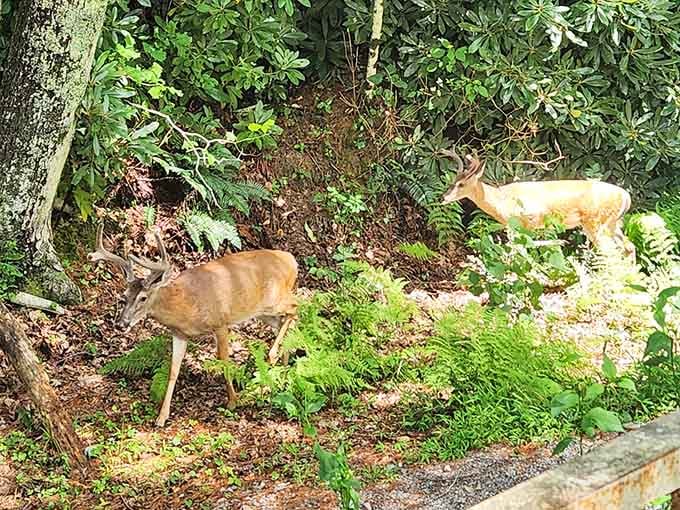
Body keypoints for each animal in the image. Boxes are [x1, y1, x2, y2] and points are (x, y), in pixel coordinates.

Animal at [88, 224, 298, 427]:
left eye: (143, 297)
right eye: (124, 297)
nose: (121, 324)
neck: (184, 305)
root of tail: (291, 260)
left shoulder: (220, 323)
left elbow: (223, 360)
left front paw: (232, 401)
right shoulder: (179, 334)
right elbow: (173, 371)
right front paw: (161, 417)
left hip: (275, 299)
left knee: (296, 308)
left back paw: (272, 359)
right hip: (263, 312)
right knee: (283, 321)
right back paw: (281, 370)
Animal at [440, 148, 636, 259]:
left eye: (461, 184)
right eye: (453, 180)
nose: (443, 197)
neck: (501, 199)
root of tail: (626, 196)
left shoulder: (523, 221)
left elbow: (519, 248)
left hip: (595, 223)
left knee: (612, 252)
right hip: (611, 224)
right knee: (629, 247)